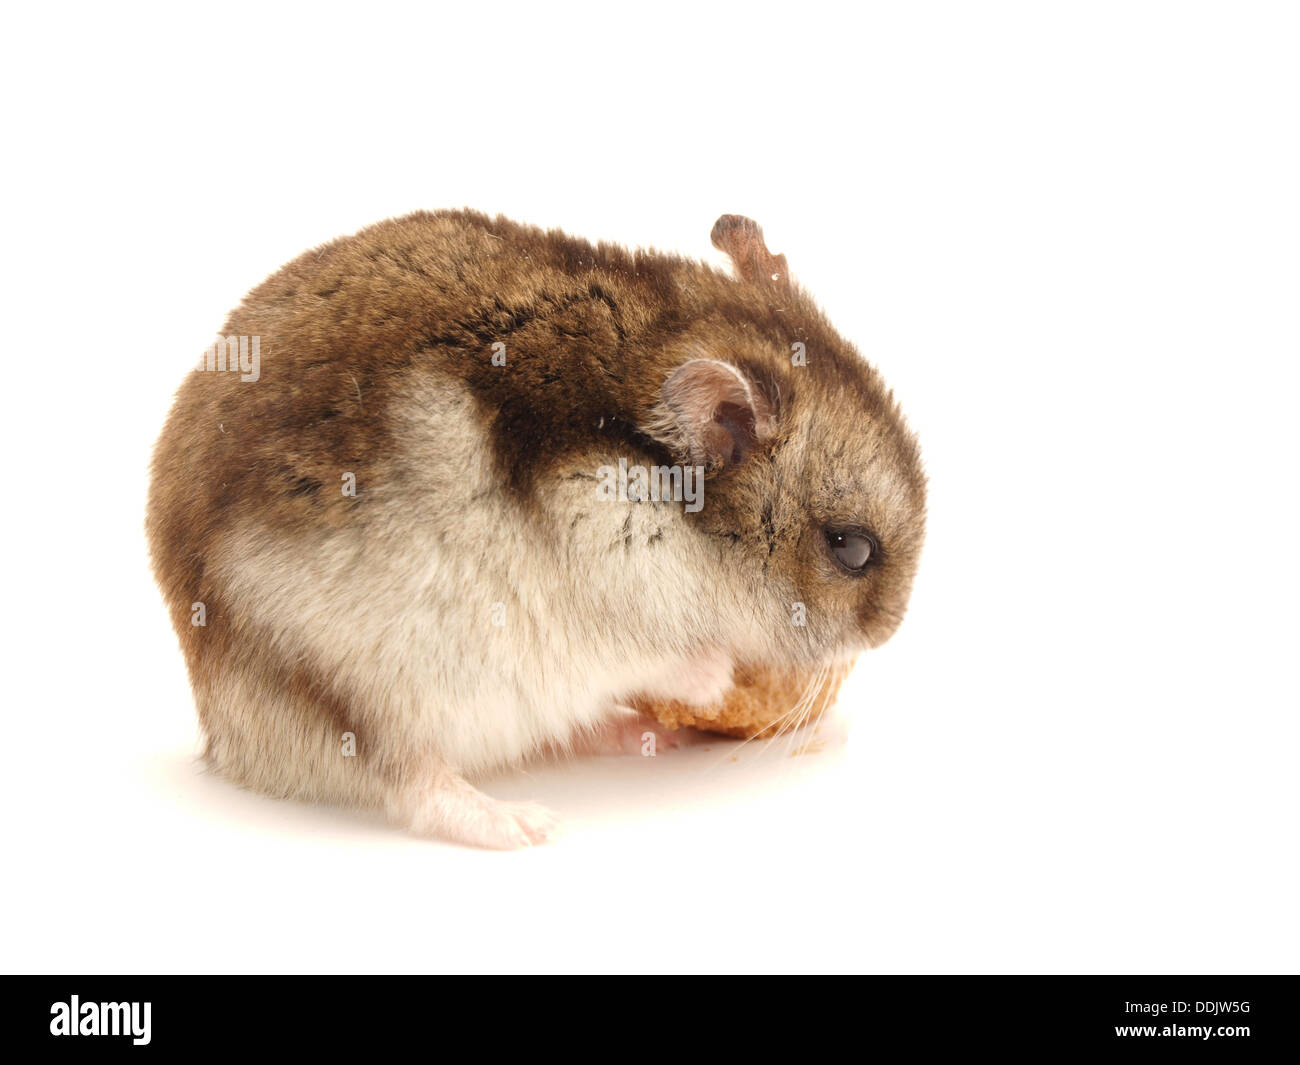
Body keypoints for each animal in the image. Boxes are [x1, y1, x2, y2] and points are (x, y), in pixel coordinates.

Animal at [147, 210, 927, 849]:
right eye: (852, 548)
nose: (889, 631)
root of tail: (221, 739)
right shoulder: (610, 578)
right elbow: (666, 653)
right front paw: (719, 678)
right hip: (339, 689)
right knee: (409, 779)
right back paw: (521, 825)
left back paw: (645, 733)